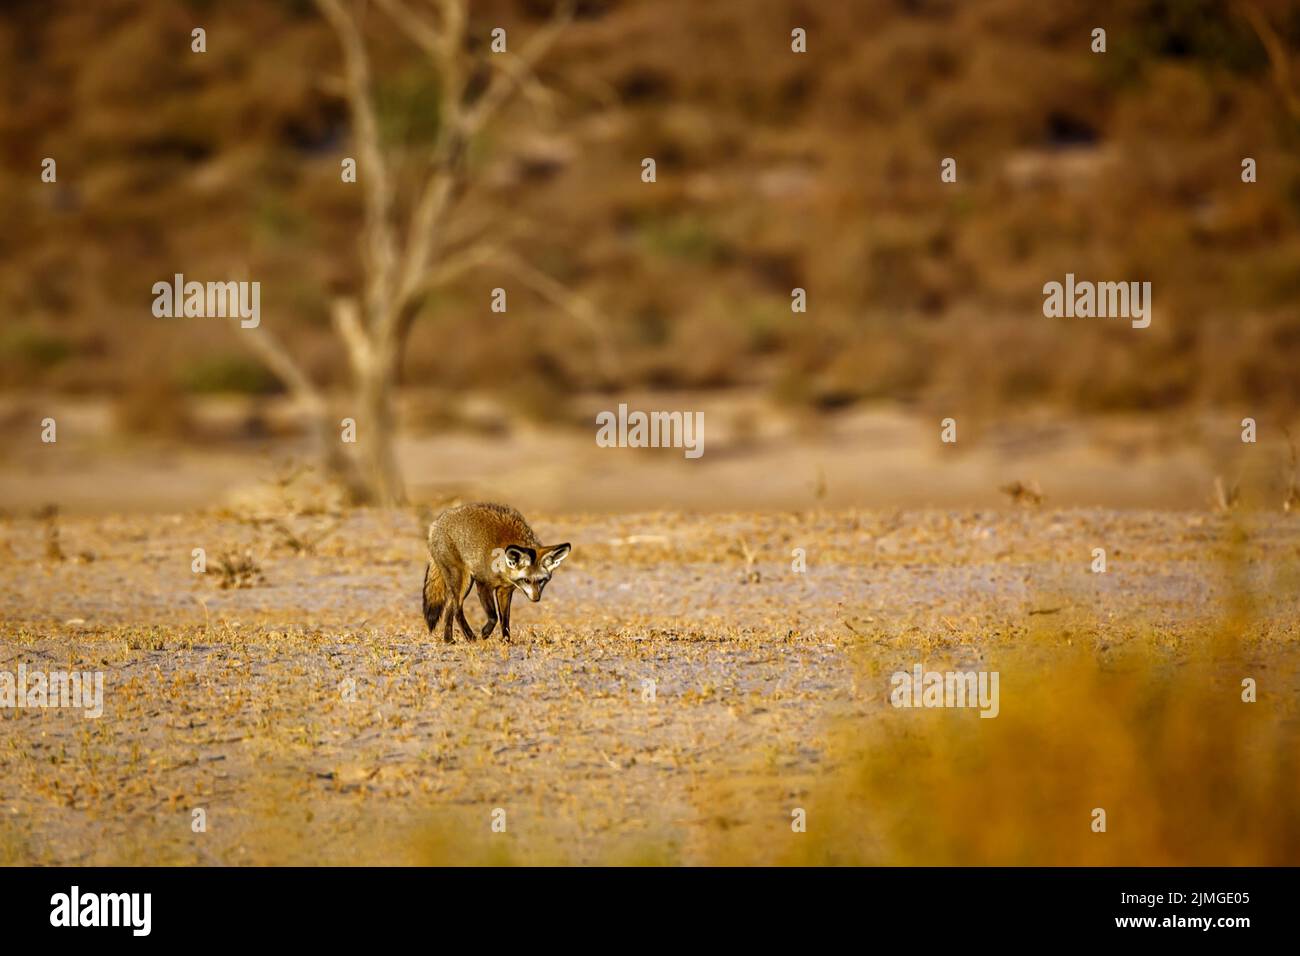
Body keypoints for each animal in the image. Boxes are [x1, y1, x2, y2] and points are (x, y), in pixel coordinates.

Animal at [422, 502, 572, 644]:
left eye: (541, 581)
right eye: (527, 580)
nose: (536, 599)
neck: (502, 568)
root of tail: (436, 522)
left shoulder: (505, 590)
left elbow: (505, 620)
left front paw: (506, 641)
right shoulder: (483, 584)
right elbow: (494, 617)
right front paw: (485, 633)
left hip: (461, 585)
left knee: (449, 608)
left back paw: (449, 640)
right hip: (464, 582)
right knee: (457, 610)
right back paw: (470, 637)